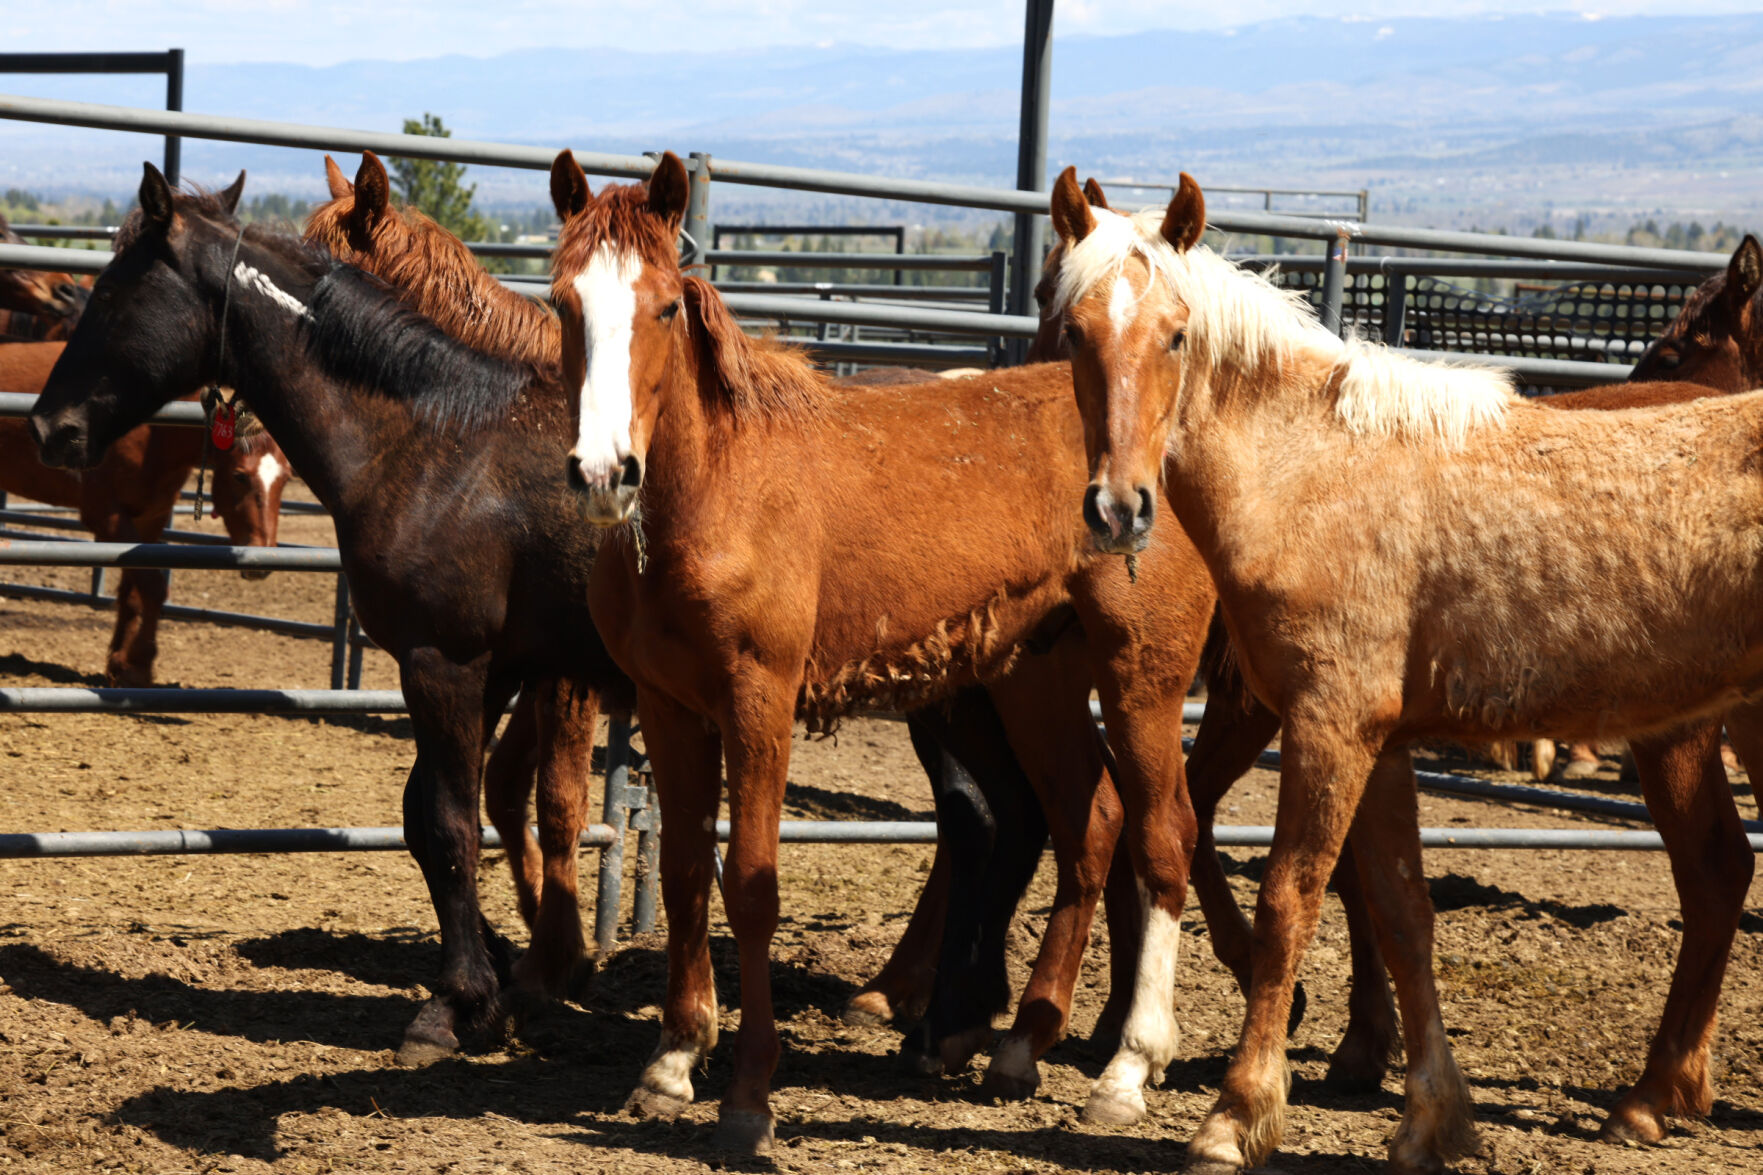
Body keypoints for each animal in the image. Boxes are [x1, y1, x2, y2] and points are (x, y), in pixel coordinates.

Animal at [1, 343, 290, 686]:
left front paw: (119, 664)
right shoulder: (107, 517)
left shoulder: (150, 518)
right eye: (239, 476)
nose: (262, 560)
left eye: (287, 478)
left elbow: (133, 593)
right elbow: (152, 587)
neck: (154, 432)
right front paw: (139, 665)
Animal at [1047, 169, 1763, 1175]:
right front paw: (1432, 1116)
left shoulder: (1327, 723)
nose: (1119, 508)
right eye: (1073, 329)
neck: (1308, 473)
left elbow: (1290, 899)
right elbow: (1398, 911)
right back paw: (1654, 1096)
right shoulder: (1376, 740)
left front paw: (1235, 1115)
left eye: (1176, 334)